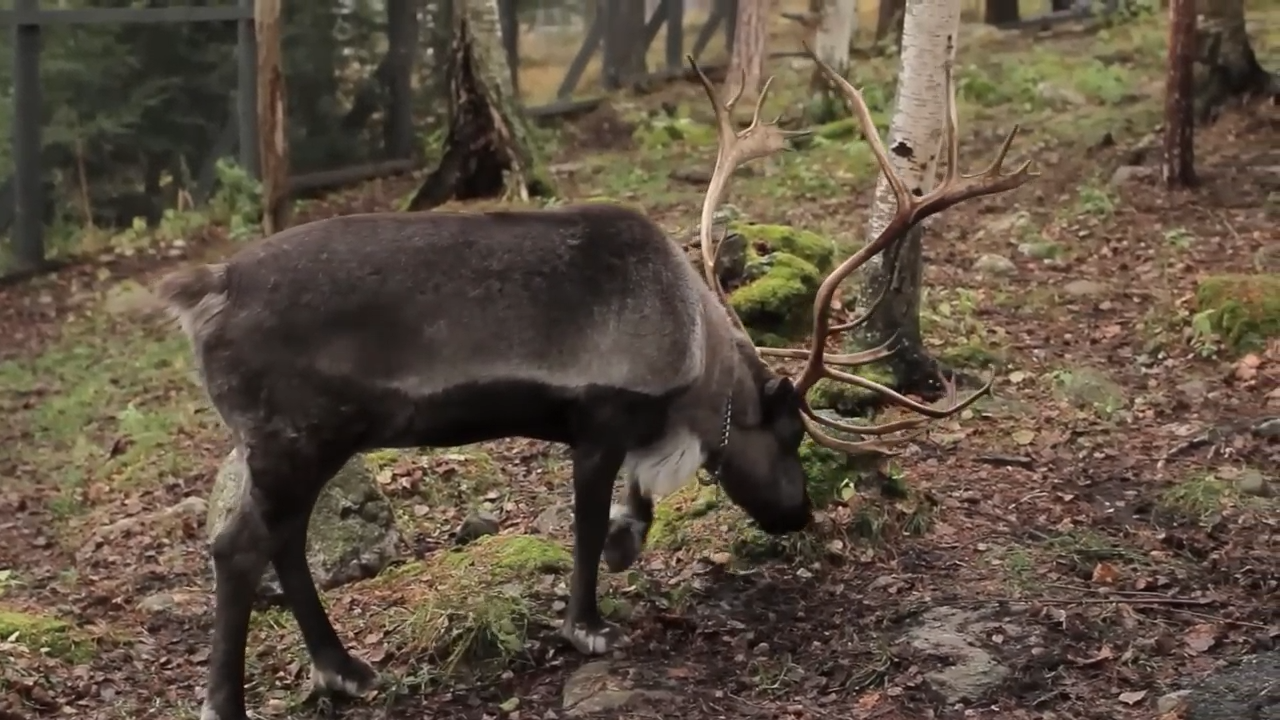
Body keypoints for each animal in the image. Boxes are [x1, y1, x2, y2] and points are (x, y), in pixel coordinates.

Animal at [155, 46, 1034, 720]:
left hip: (306, 444)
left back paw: (344, 669)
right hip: (294, 435)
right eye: (785, 432)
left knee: (282, 543)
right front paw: (588, 622)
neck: (694, 353)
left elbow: (633, 504)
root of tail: (203, 289)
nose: (799, 514)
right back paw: (232, 698)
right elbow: (582, 526)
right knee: (239, 547)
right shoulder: (600, 421)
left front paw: (626, 541)